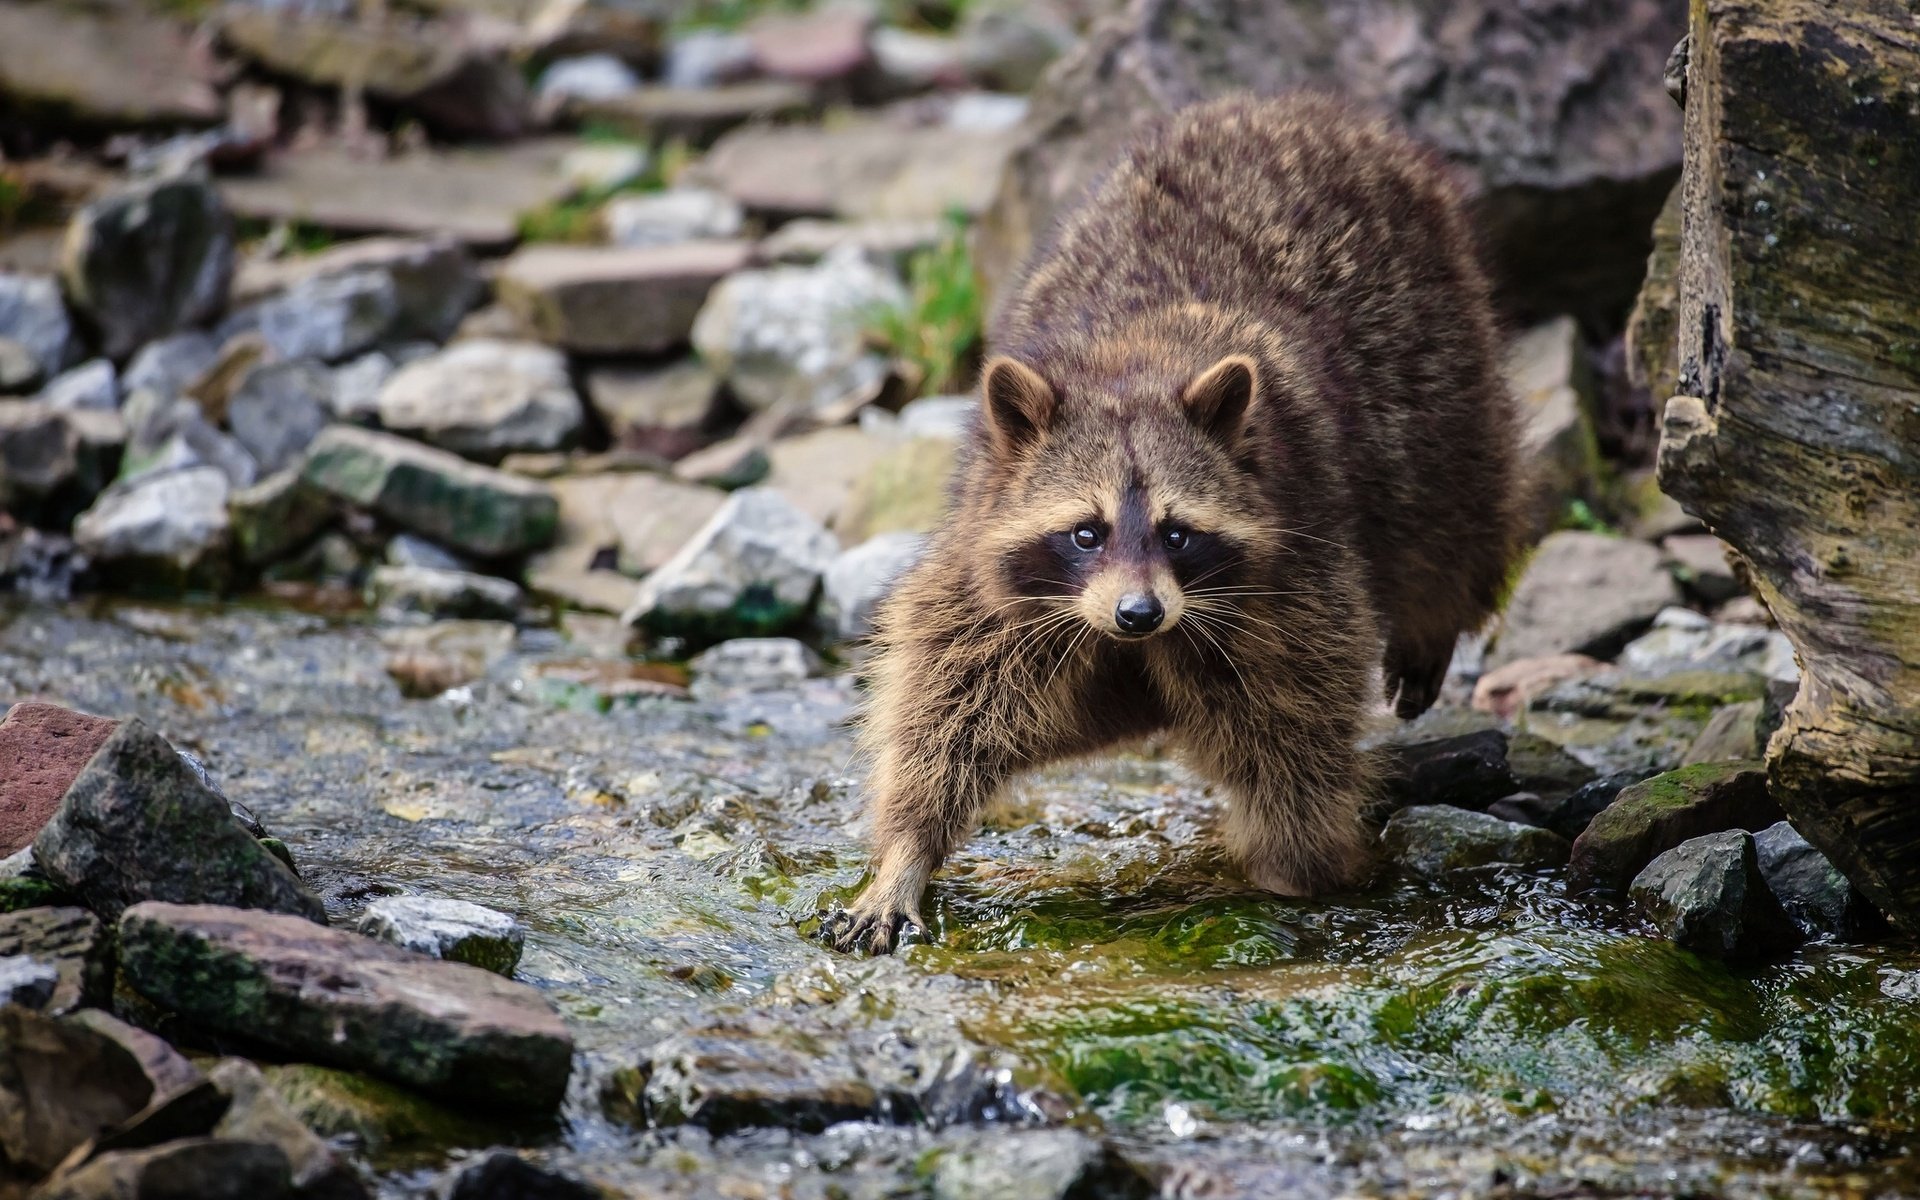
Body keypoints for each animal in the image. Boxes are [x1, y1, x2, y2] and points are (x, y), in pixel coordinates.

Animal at [824, 93, 1524, 953]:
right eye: (1086, 533)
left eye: (1177, 533)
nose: (1139, 613)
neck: (1132, 368)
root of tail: (1286, 104)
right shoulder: (987, 574)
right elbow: (942, 707)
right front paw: (907, 851)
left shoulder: (1294, 572)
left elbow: (1296, 726)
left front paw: (1298, 865)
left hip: (1432, 356)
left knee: (1450, 501)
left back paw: (1435, 613)